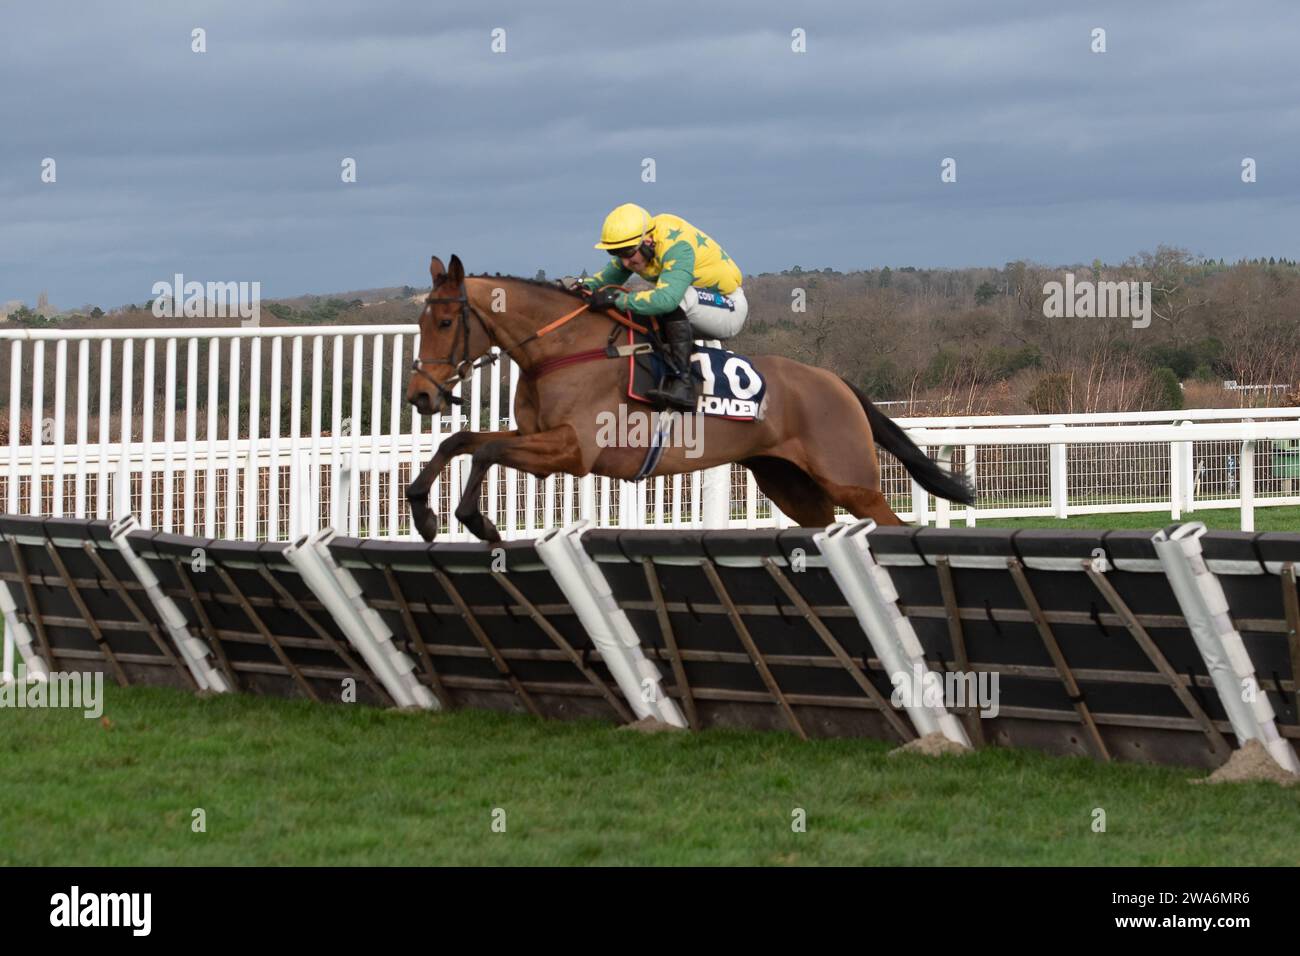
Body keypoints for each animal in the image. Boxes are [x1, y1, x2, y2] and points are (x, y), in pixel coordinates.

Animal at [405, 254, 974, 542]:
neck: (563, 350)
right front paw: (424, 513)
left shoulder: (572, 450)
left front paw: (475, 520)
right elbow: (459, 441)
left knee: (891, 526)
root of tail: (834, 381)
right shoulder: (536, 436)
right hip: (790, 484)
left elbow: (484, 450)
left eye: (446, 322)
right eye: (421, 320)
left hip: (850, 480)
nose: (420, 395)